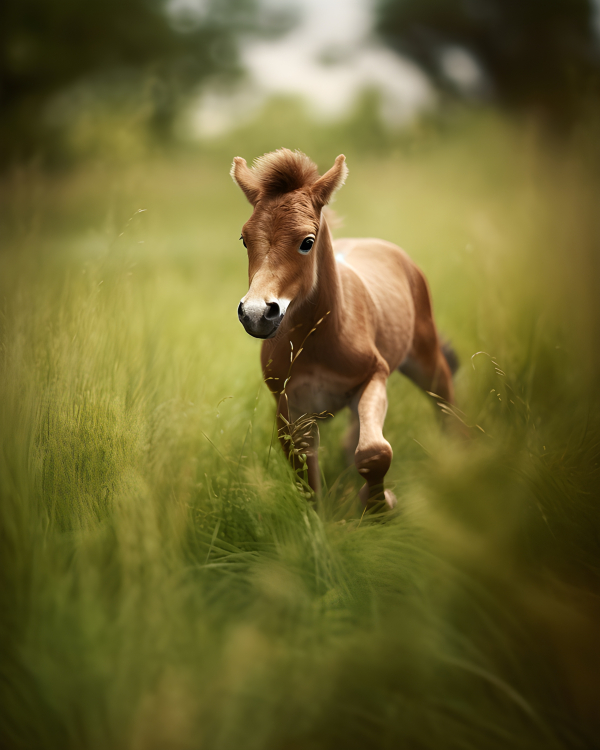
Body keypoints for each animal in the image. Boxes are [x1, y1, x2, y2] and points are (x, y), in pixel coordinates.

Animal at [231, 148, 457, 510]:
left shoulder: (374, 376)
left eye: (307, 242)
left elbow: (374, 452)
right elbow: (305, 475)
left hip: (425, 356)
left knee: (444, 400)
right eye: (244, 240)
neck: (316, 341)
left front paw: (380, 507)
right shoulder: (290, 408)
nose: (256, 313)